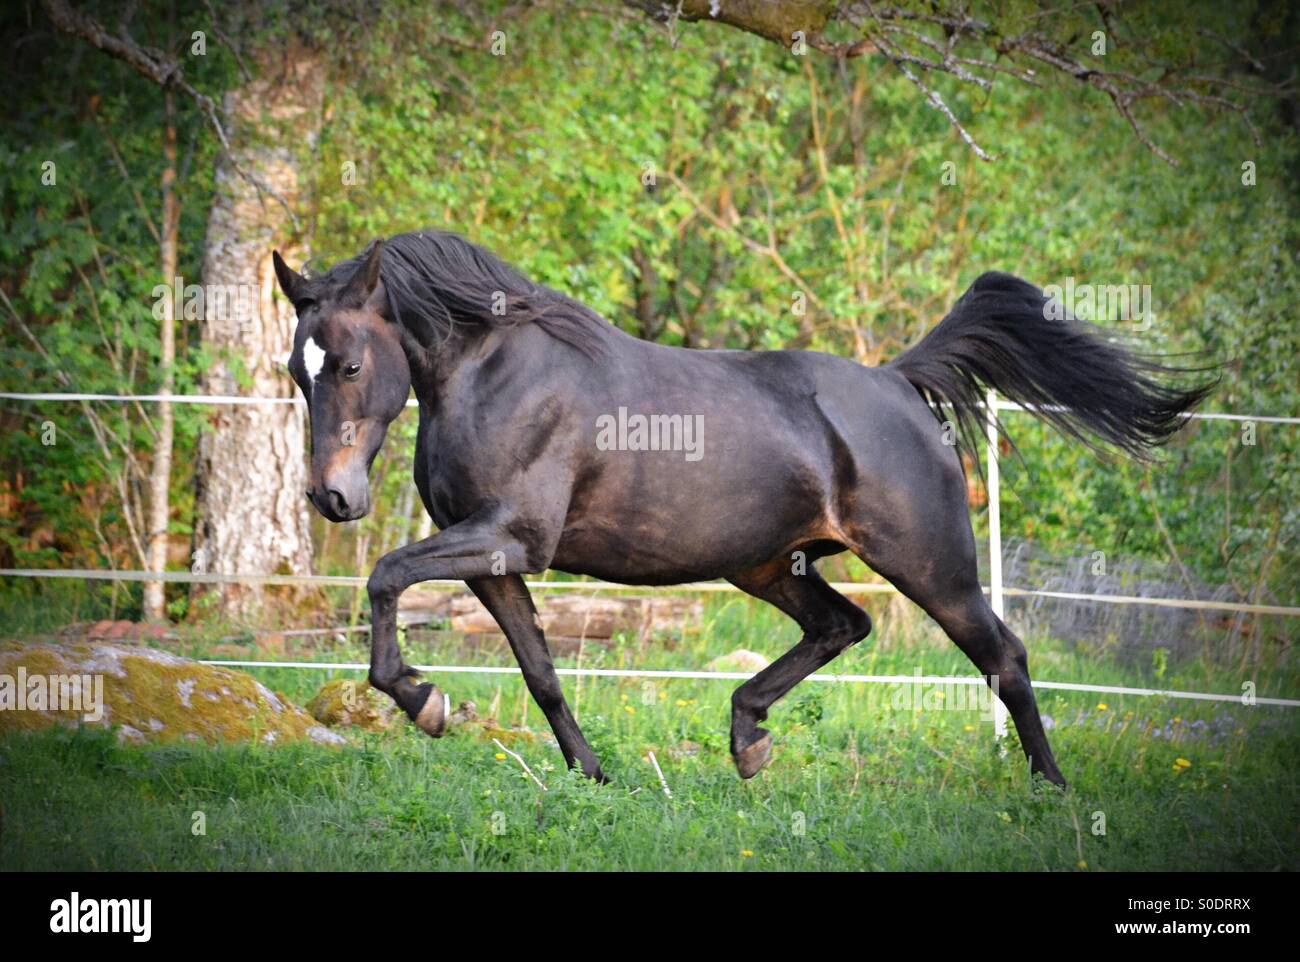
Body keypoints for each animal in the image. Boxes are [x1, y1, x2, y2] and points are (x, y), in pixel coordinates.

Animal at [272, 231, 1211, 786]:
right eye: (295, 368)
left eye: (349, 364)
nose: (333, 497)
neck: (496, 374)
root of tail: (897, 382)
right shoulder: (495, 560)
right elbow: (539, 671)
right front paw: (588, 774)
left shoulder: (511, 538)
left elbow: (386, 577)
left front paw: (419, 698)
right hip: (768, 564)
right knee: (842, 626)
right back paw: (748, 739)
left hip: (932, 566)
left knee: (1003, 656)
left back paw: (1049, 790)